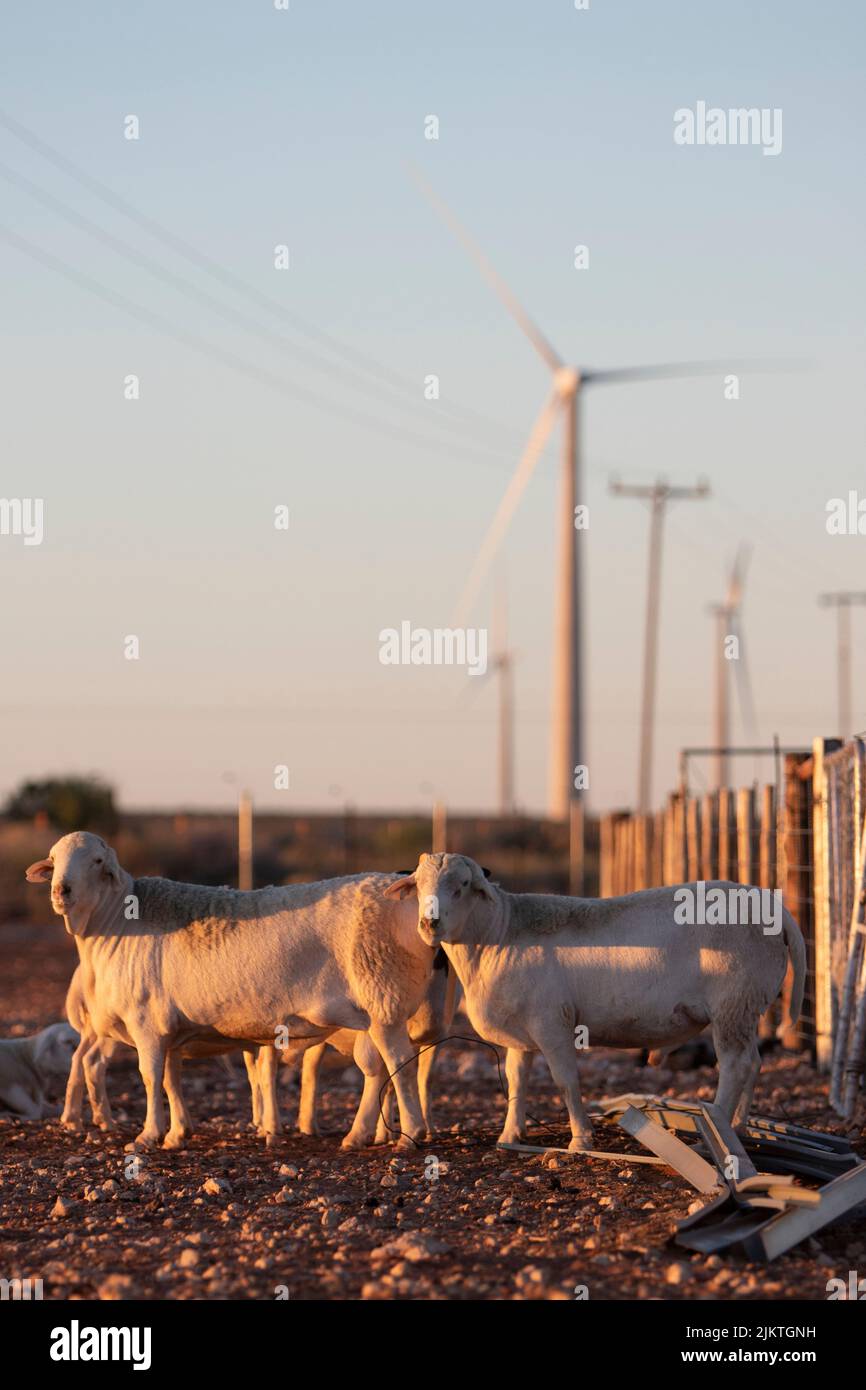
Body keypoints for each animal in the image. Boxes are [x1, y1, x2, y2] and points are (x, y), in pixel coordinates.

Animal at [26, 832, 433, 1150]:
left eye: (96, 861)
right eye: (53, 859)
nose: (60, 890)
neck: (114, 923)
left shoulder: (146, 1022)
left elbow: (150, 1076)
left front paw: (148, 1135)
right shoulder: (168, 1027)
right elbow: (171, 1079)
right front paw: (176, 1133)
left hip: (384, 999)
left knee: (399, 1064)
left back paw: (410, 1133)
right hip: (375, 1010)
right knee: (377, 1070)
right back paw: (359, 1135)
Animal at [384, 853, 806, 1149]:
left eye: (463, 885)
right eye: (418, 886)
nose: (429, 924)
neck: (499, 933)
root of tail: (776, 911)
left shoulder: (552, 1022)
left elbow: (566, 1081)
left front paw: (581, 1139)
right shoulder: (524, 1029)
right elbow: (518, 1080)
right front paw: (510, 1135)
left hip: (732, 1003)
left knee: (735, 1066)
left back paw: (717, 1126)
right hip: (746, 1007)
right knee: (753, 1063)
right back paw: (738, 1126)